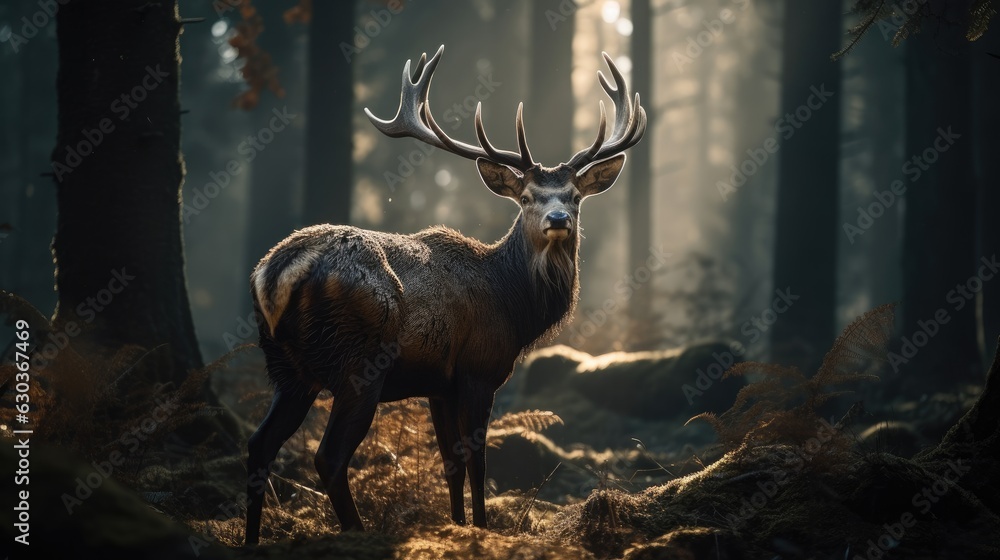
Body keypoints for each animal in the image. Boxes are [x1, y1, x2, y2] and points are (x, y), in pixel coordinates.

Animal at [244, 45, 645, 545]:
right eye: (527, 197)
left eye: (574, 196)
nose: (558, 220)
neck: (512, 304)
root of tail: (273, 273)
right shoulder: (479, 369)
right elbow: (478, 462)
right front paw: (483, 528)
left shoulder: (438, 383)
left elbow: (450, 462)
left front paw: (457, 526)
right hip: (359, 363)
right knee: (328, 456)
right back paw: (359, 533)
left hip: (288, 370)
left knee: (258, 446)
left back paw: (252, 539)